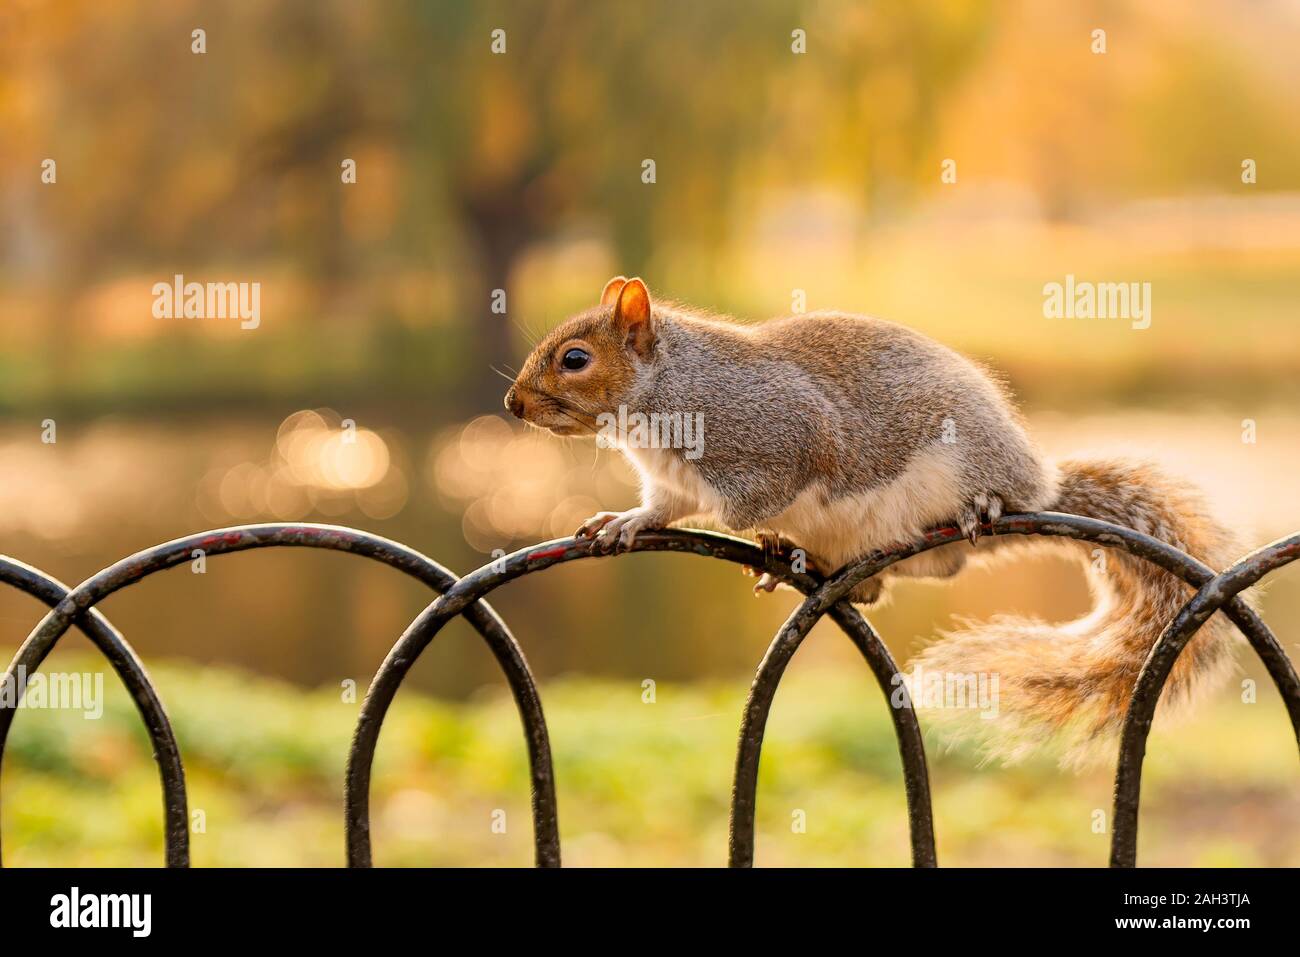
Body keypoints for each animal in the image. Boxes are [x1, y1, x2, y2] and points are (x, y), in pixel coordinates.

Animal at [504, 276, 1243, 763]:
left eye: (575, 359)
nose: (512, 405)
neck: (662, 394)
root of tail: (1041, 481)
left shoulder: (777, 441)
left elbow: (747, 503)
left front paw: (766, 533)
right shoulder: (669, 484)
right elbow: (663, 508)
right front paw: (624, 521)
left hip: (970, 465)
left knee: (970, 526)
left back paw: (977, 508)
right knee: (903, 580)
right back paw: (838, 574)